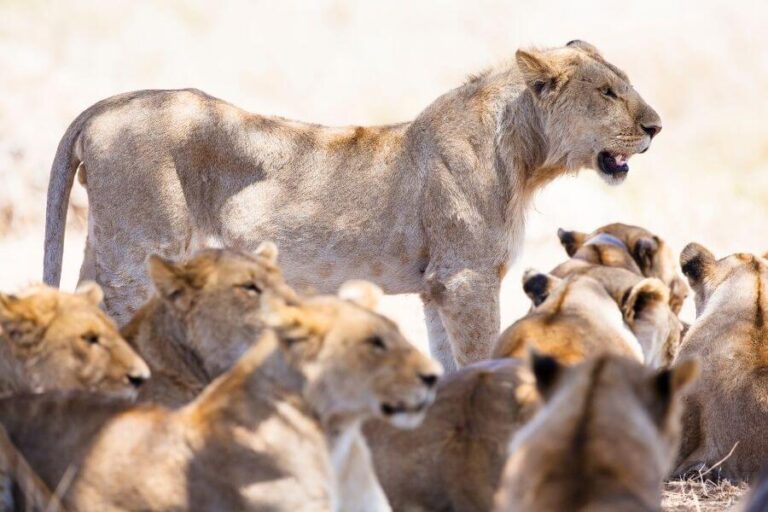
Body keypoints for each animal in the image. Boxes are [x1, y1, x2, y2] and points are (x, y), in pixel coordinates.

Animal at [43, 40, 661, 372]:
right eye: (607, 92)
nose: (656, 126)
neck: (524, 159)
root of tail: (104, 106)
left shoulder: (439, 285)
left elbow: (446, 360)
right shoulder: (467, 276)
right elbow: (480, 353)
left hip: (104, 246)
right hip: (141, 254)